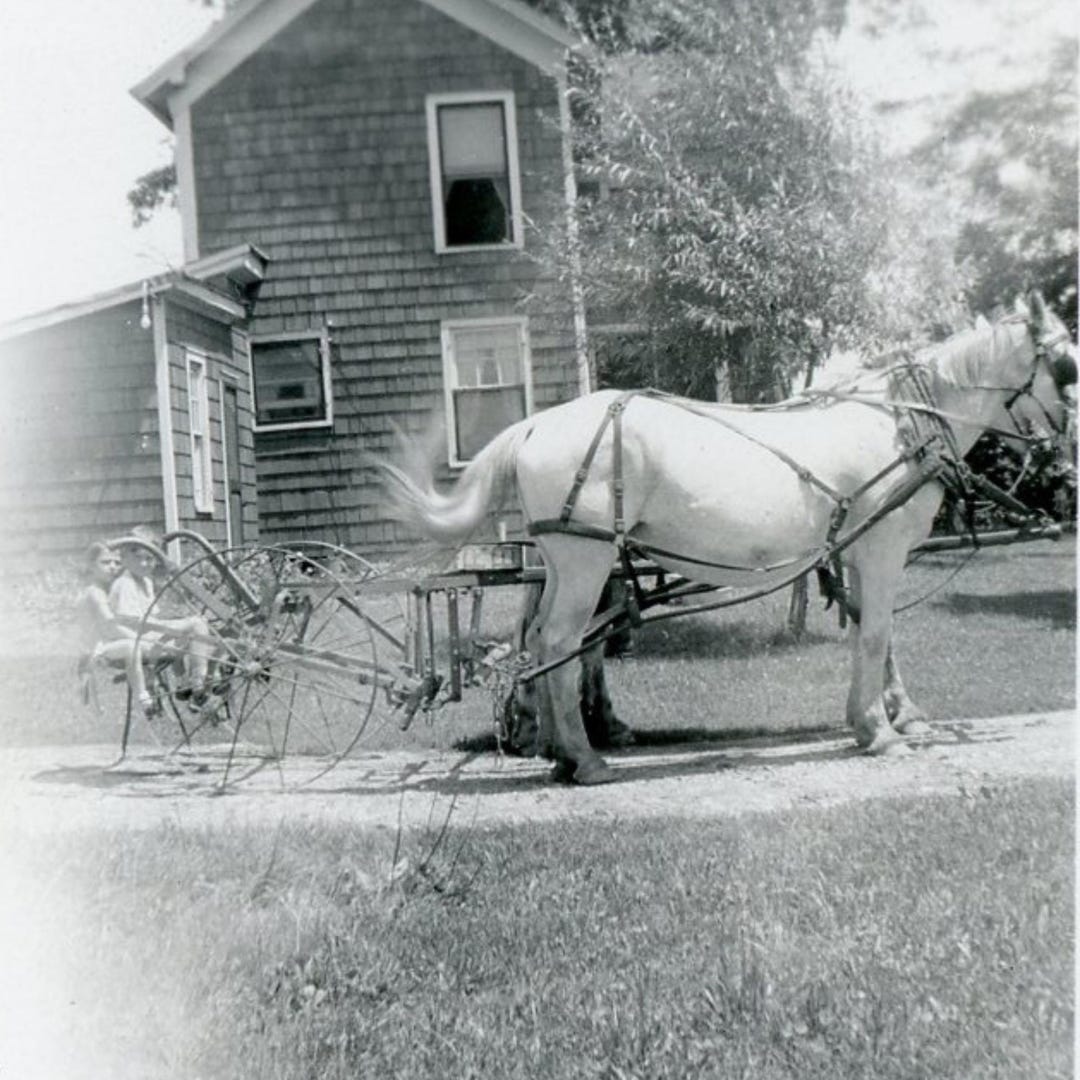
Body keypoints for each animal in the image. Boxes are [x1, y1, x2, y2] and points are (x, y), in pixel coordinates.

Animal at [377, 293, 1075, 784]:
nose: (1064, 462)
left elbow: (870, 633)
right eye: (1066, 365)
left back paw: (557, 746)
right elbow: (876, 633)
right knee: (559, 641)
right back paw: (583, 756)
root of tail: (533, 425)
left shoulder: (856, 547)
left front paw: (885, 716)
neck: (903, 422)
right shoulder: (880, 547)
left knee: (540, 641)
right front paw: (881, 730)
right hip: (586, 558)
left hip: (568, 559)